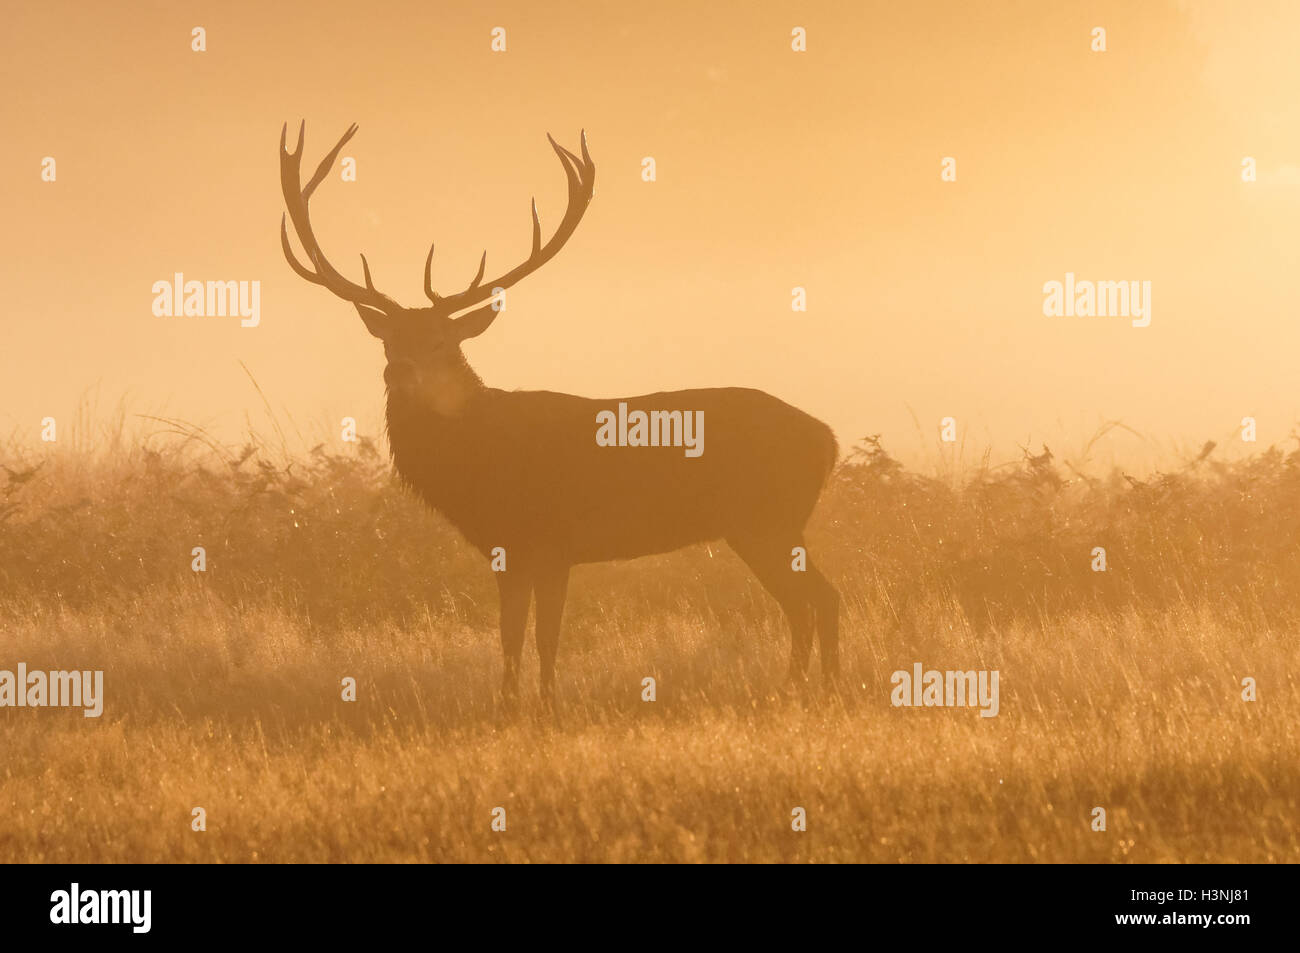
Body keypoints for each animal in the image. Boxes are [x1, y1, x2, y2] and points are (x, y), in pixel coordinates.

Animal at [278, 121, 841, 704]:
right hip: (763, 525)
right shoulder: (510, 551)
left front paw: (546, 704)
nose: (398, 374)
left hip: (768, 520)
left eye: (440, 342)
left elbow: (545, 635)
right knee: (807, 603)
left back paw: (815, 691)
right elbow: (510, 636)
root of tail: (829, 440)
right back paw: (801, 690)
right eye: (388, 341)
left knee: (820, 599)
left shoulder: (551, 542)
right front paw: (510, 704)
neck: (478, 463)